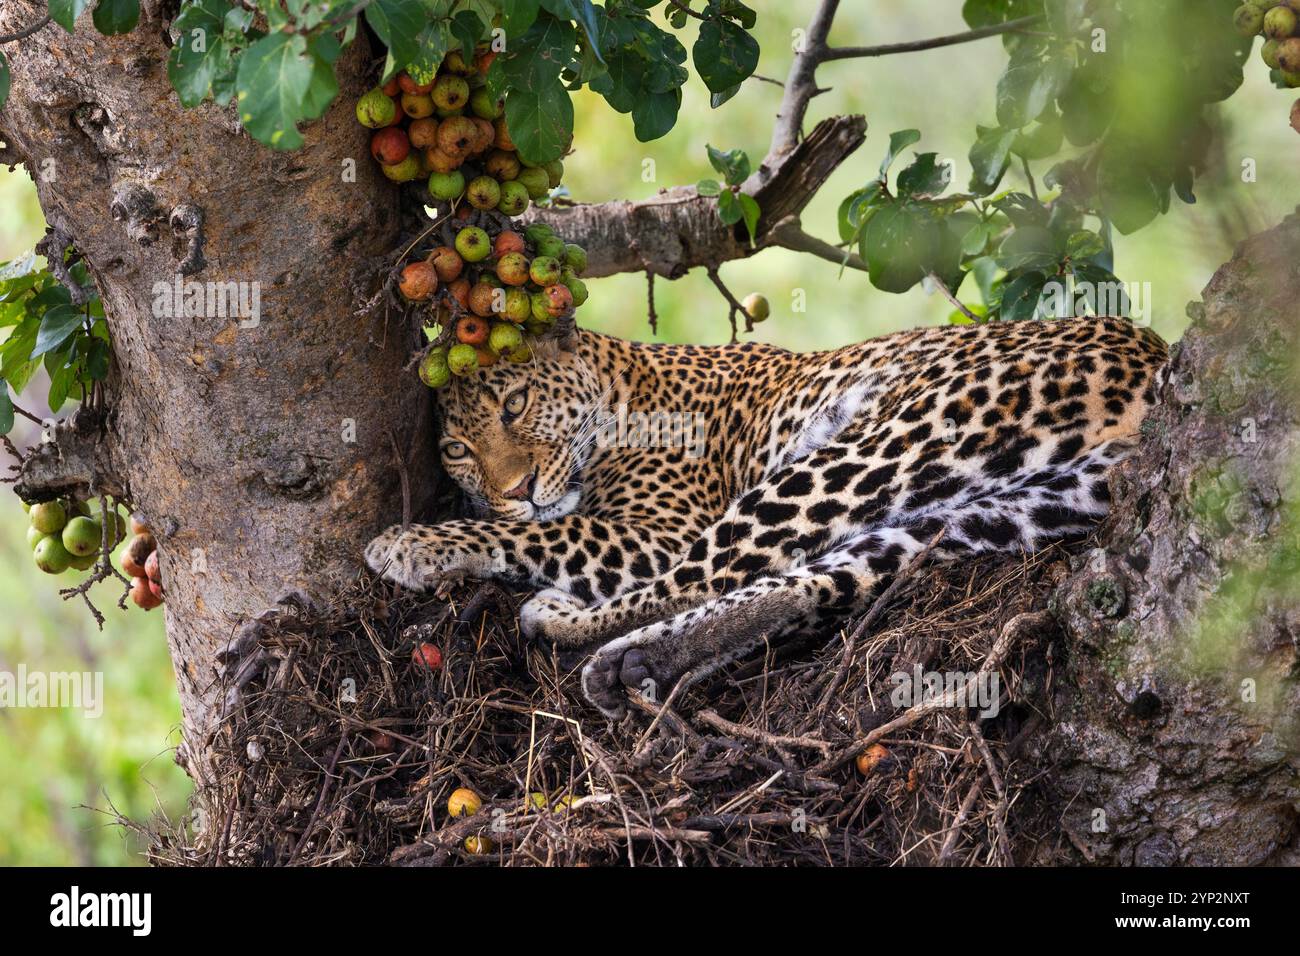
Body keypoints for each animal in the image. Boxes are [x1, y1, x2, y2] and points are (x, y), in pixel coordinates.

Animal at [366, 315, 1168, 719]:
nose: (519, 485)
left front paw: (414, 544)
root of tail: (1155, 361)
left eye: (515, 404)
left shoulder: (655, 531)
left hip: (884, 441)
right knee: (816, 579)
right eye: (459, 450)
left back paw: (566, 621)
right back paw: (637, 661)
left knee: (704, 575)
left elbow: (540, 531)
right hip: (1002, 506)